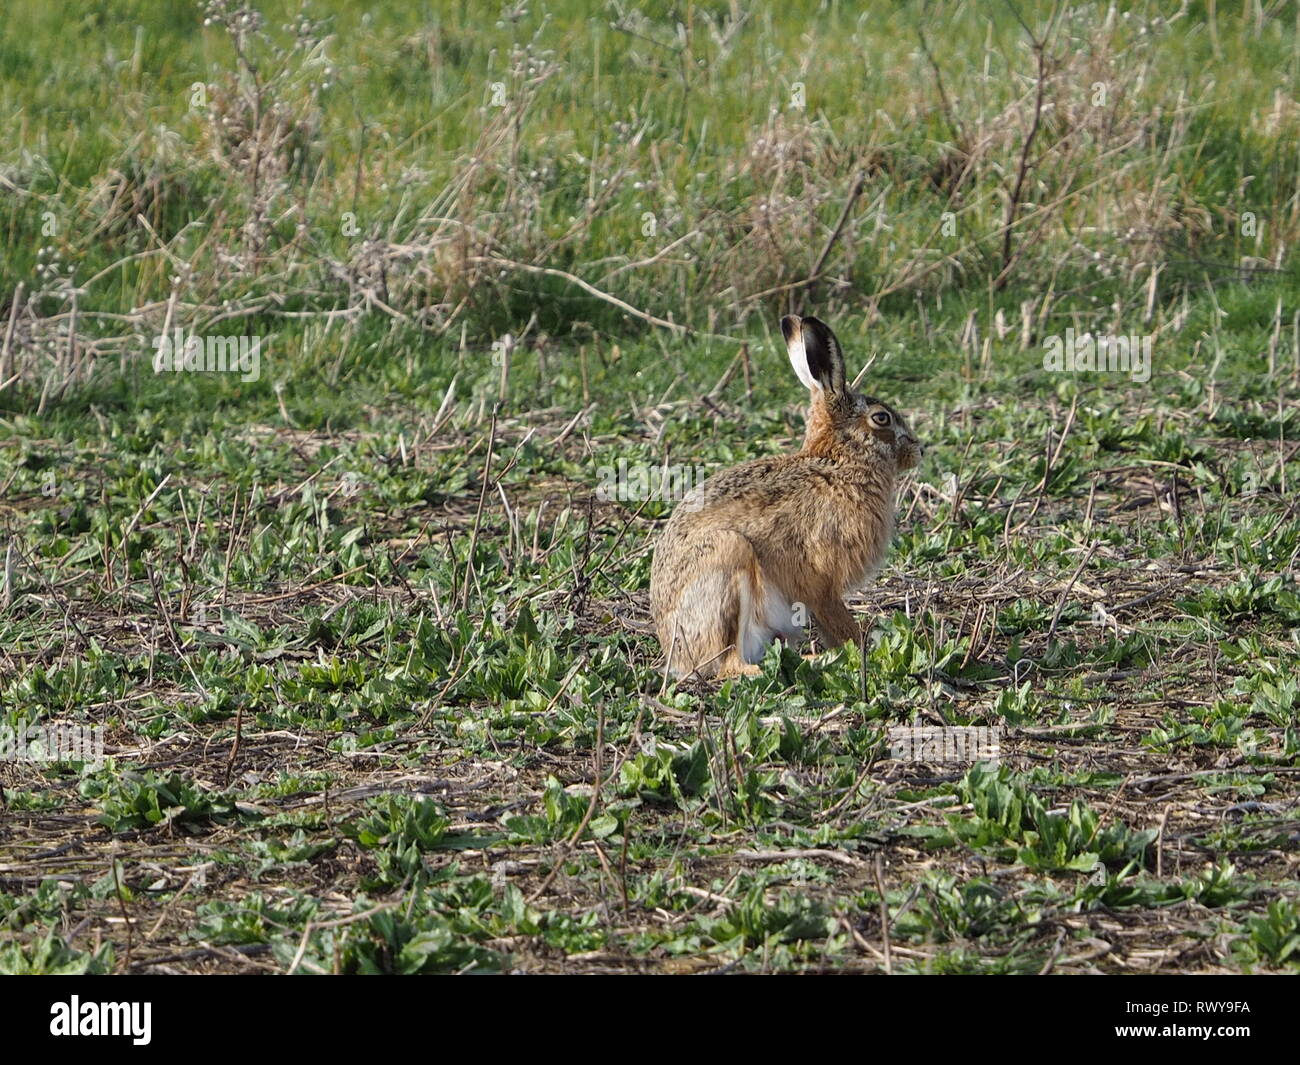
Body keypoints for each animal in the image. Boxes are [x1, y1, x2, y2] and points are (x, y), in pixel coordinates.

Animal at [649, 314, 923, 678]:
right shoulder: (822, 582)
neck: (839, 464)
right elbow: (839, 623)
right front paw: (859, 653)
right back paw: (809, 662)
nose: (919, 450)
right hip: (727, 558)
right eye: (882, 418)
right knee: (730, 665)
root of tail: (678, 658)